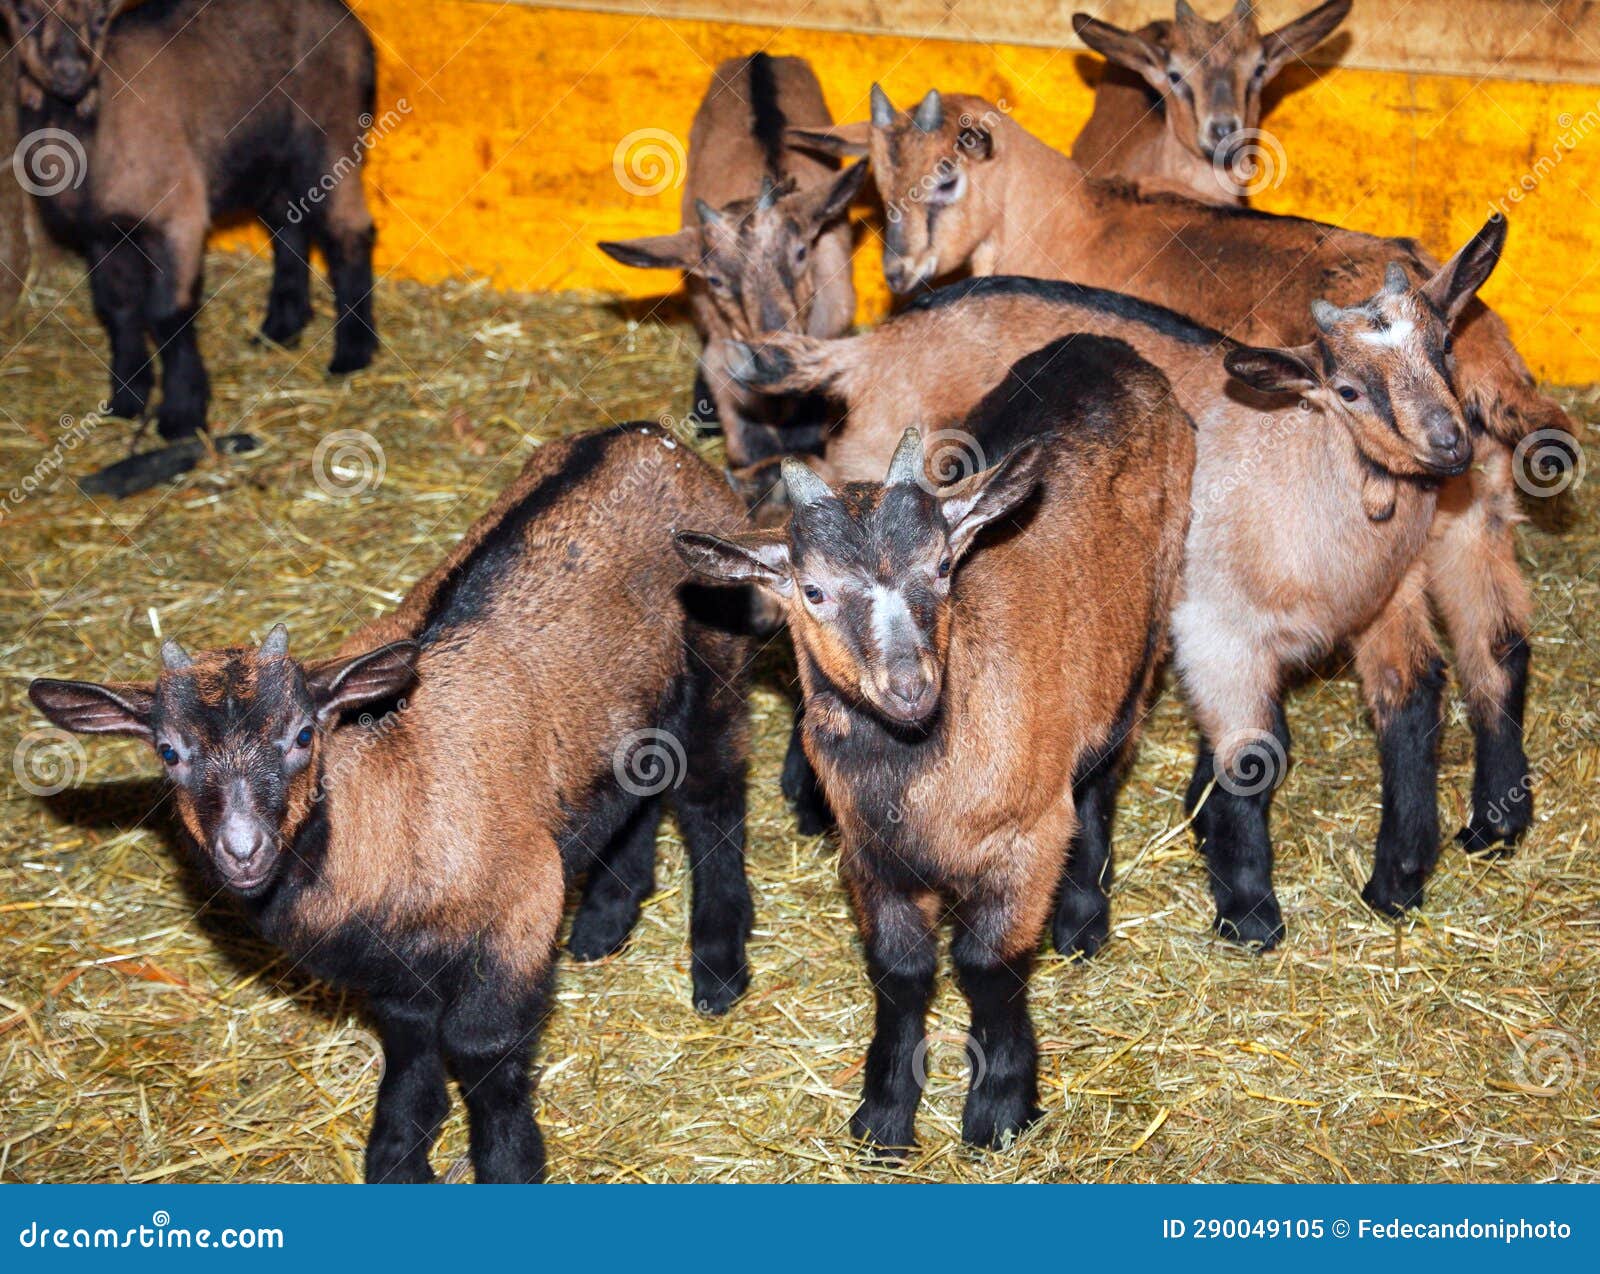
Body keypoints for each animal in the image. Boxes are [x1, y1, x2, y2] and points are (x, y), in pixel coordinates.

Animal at [2, 0, 378, 485]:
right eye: (24, 14)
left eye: (101, 16)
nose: (70, 72)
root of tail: (354, 27)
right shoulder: (103, 233)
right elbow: (117, 308)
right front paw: (127, 398)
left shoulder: (178, 215)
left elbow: (166, 313)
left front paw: (182, 414)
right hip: (270, 152)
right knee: (289, 227)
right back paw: (281, 327)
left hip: (329, 132)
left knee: (349, 232)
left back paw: (352, 352)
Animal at [28, 424, 756, 1182]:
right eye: (169, 751)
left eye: (303, 735)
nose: (243, 850)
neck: (377, 801)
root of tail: (649, 437)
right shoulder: (395, 960)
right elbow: (408, 1039)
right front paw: (400, 1148)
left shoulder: (521, 907)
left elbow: (480, 1046)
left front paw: (508, 1161)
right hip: (628, 713)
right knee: (640, 793)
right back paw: (605, 921)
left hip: (716, 656)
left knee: (711, 799)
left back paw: (718, 964)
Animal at [598, 53, 865, 470]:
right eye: (716, 281)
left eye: (802, 252)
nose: (773, 358)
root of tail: (760, 57)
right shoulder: (723, 356)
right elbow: (747, 440)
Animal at [676, 338, 1193, 1149]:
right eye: (813, 591)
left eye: (945, 566)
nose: (910, 687)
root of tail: (1108, 348)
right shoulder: (874, 860)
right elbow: (900, 971)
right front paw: (885, 1113)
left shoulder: (1023, 843)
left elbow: (988, 966)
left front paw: (1001, 1106)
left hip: (1148, 623)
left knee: (1103, 772)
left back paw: (1083, 918)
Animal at [730, 218, 1529, 949]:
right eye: (1350, 389)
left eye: (1444, 347)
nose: (1450, 443)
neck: (1303, 459)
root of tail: (865, 349)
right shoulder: (1217, 630)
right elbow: (1254, 756)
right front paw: (1249, 911)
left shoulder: (1379, 598)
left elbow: (1411, 703)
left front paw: (1396, 879)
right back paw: (809, 800)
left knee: (1491, 645)